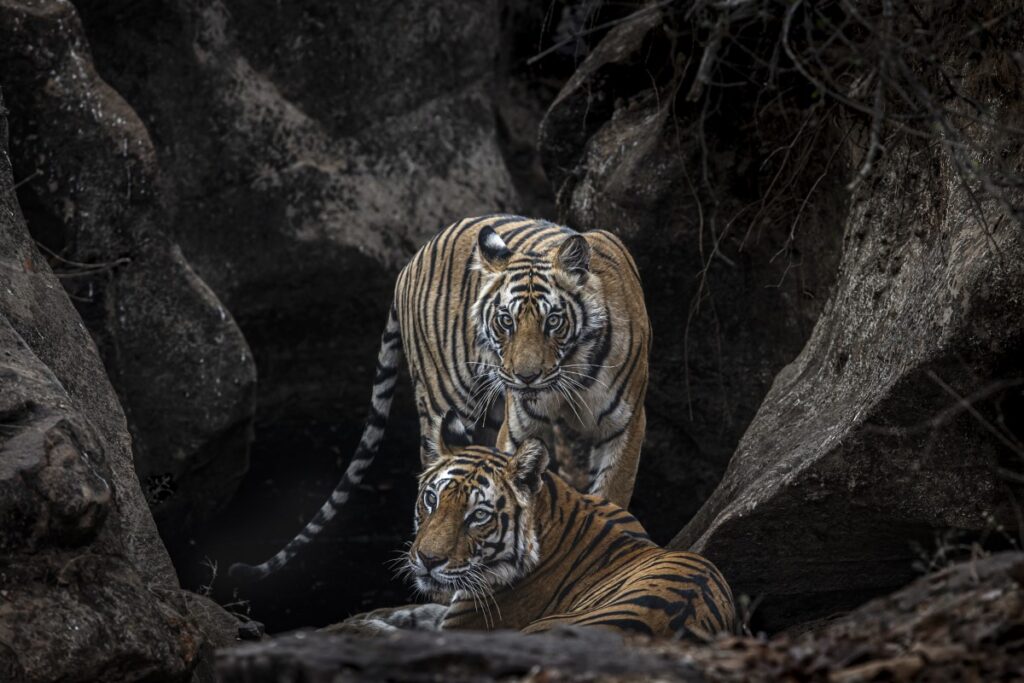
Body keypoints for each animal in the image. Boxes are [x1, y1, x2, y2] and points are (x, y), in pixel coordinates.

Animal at [230, 214, 650, 582]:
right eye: (506, 321)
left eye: (553, 322)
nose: (525, 377)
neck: (569, 380)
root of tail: (413, 257)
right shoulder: (519, 429)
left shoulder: (625, 427)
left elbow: (610, 496)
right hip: (446, 403)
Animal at [336, 410, 736, 639]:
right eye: (432, 499)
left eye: (478, 516)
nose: (428, 560)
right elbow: (415, 611)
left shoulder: (469, 625)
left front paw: (357, 626)